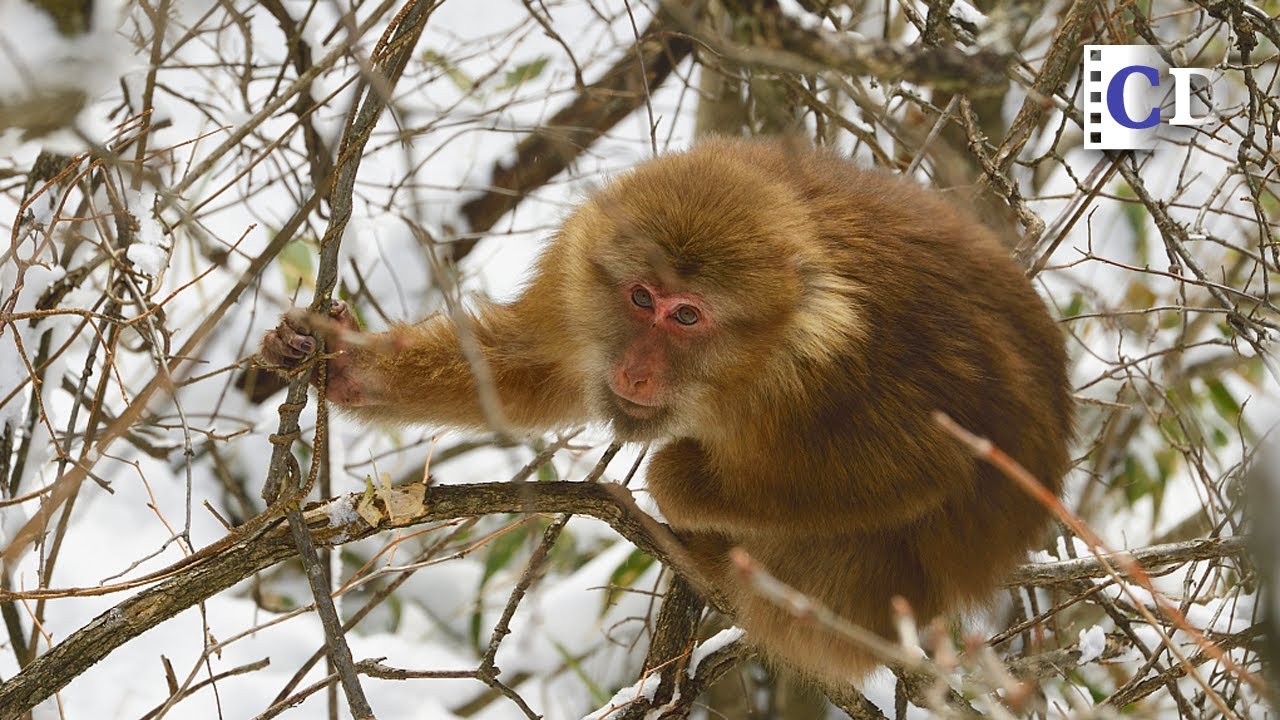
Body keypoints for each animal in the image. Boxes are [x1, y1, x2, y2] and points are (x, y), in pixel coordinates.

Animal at [258, 137, 1073, 684]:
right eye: (641, 297)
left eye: (687, 316)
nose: (636, 369)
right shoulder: (580, 267)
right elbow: (535, 369)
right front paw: (343, 364)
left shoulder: (840, 367)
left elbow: (929, 467)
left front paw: (680, 483)